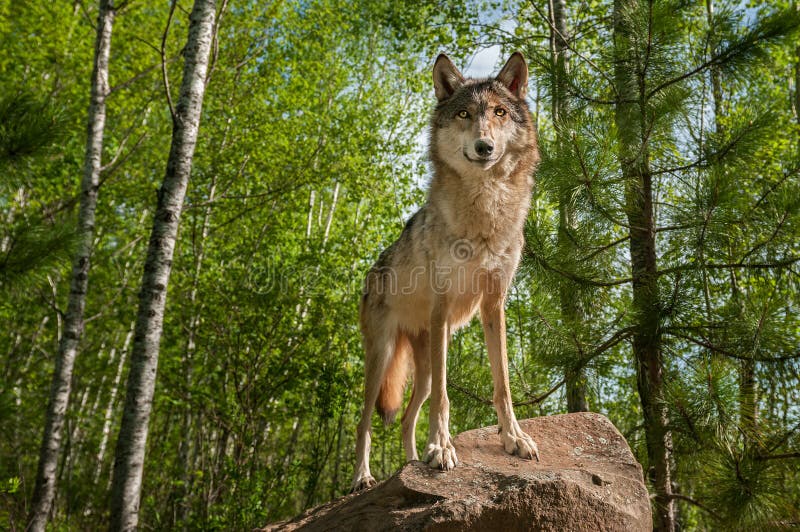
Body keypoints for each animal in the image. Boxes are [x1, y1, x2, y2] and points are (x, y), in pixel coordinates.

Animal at [351, 52, 540, 491]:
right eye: (464, 114)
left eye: (499, 112)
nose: (484, 146)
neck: (485, 210)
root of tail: (371, 274)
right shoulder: (442, 308)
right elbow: (445, 397)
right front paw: (441, 449)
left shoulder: (494, 305)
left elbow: (503, 385)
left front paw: (514, 438)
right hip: (383, 360)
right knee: (364, 422)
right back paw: (363, 478)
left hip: (419, 370)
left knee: (406, 420)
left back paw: (409, 465)